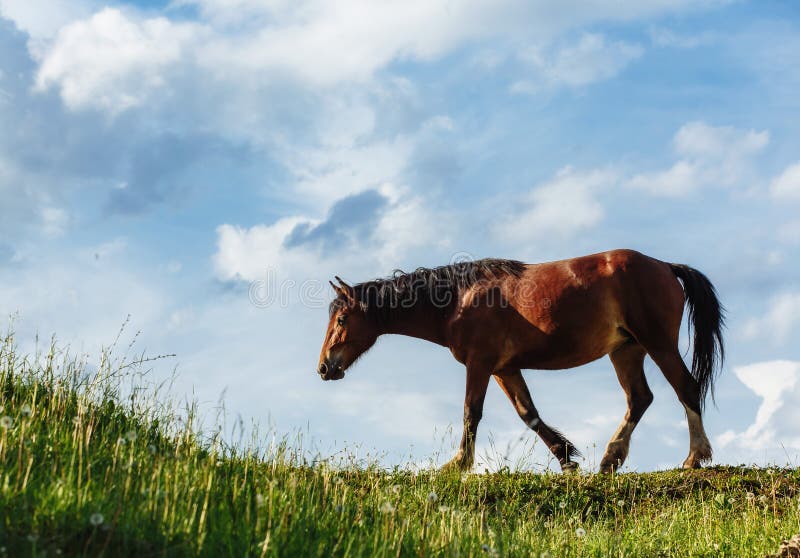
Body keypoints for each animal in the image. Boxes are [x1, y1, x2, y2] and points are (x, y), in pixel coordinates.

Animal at [316, 249, 724, 473]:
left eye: (342, 320)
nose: (323, 367)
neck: (458, 299)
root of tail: (665, 266)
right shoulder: (505, 369)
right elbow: (529, 414)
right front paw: (566, 458)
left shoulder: (480, 364)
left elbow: (471, 413)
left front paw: (457, 464)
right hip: (626, 350)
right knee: (639, 399)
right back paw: (610, 459)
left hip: (657, 343)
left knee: (686, 387)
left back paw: (694, 458)